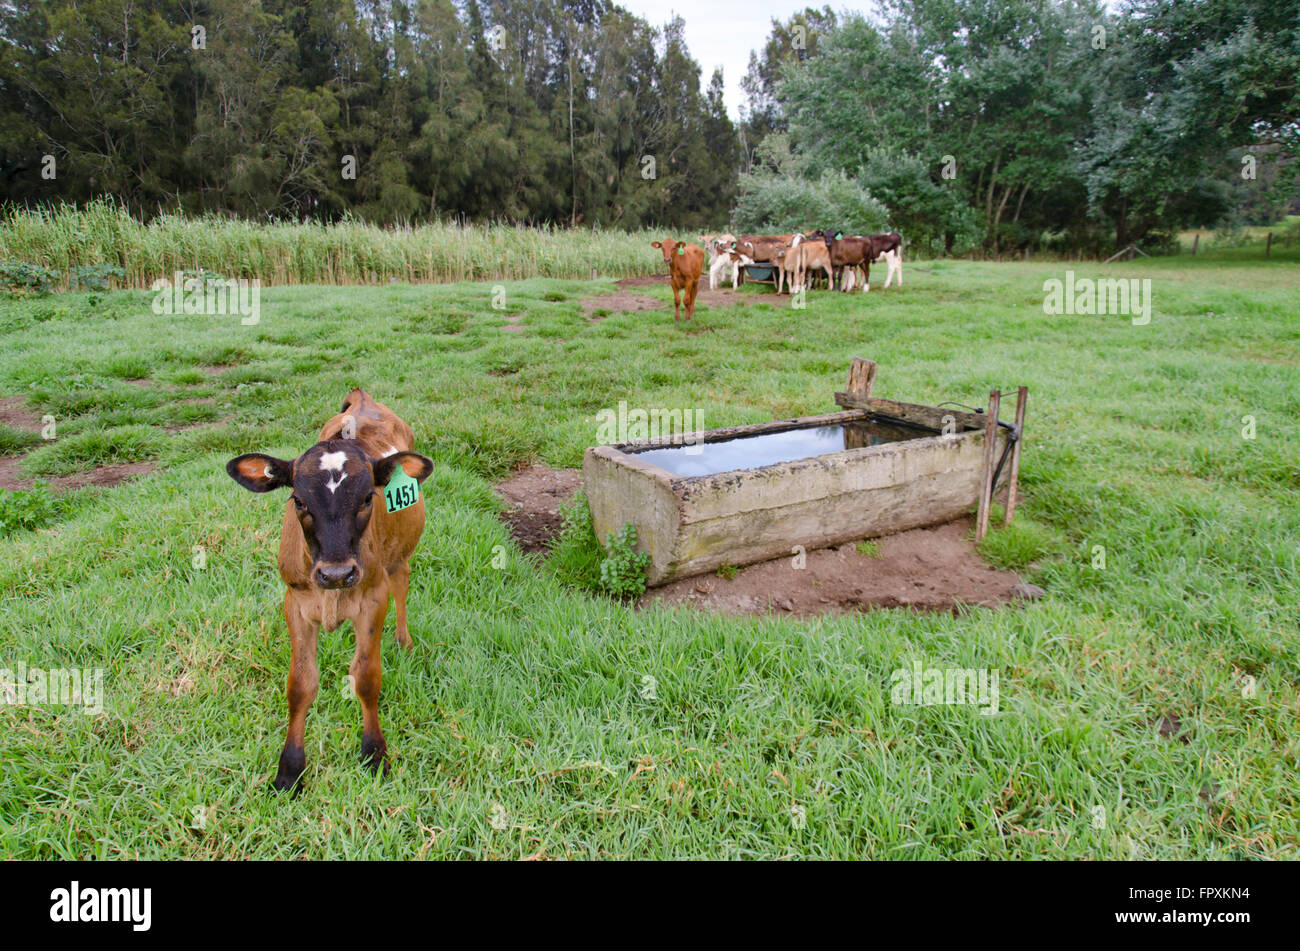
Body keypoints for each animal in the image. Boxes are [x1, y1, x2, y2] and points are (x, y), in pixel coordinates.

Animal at [226, 389, 434, 793]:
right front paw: (289, 771)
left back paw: (403, 641)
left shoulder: (373, 597)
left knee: (402, 583)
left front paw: (374, 753)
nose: (337, 573)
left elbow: (366, 677)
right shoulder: (295, 601)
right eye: (298, 500)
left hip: (399, 556)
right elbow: (300, 684)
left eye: (368, 498)